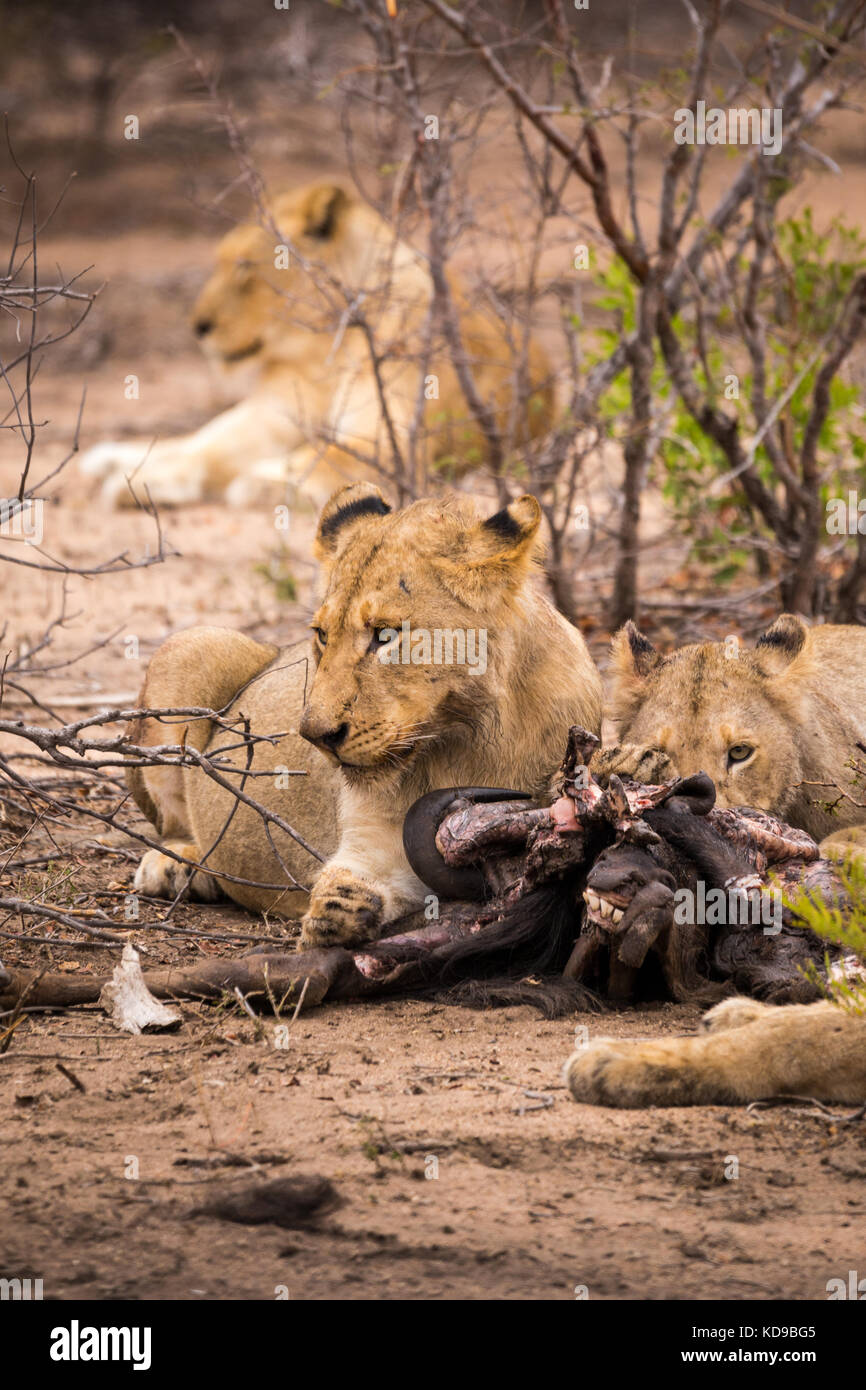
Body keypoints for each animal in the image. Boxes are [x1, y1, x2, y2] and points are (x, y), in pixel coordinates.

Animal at [80, 181, 554, 509]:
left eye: (245, 268)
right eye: (220, 262)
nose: (198, 327)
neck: (322, 352)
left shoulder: (392, 438)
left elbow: (322, 457)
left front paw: (260, 482)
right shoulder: (271, 414)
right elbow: (211, 449)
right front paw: (142, 480)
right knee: (194, 438)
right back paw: (111, 461)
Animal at [126, 482, 603, 948]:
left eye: (386, 636)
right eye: (322, 634)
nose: (316, 735)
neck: (469, 736)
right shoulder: (372, 834)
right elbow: (358, 877)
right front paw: (336, 910)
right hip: (189, 645)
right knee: (173, 824)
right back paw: (177, 867)